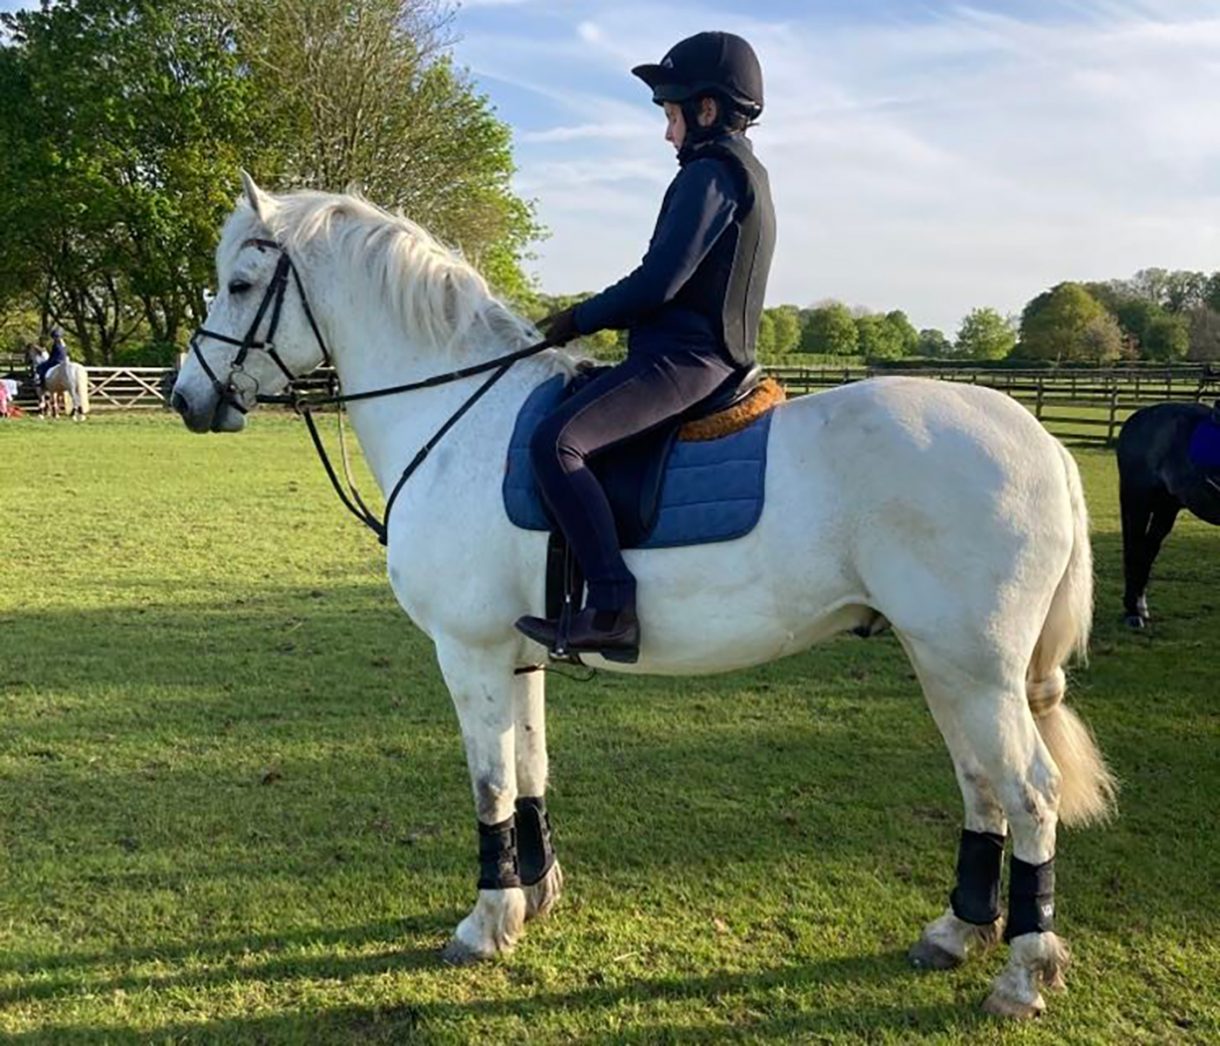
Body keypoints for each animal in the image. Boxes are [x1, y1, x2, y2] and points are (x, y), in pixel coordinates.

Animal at [171, 175, 1116, 1020]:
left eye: (240, 285)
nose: (186, 398)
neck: (457, 418)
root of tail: (1042, 442)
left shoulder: (470, 653)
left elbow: (490, 786)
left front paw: (485, 922)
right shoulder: (520, 656)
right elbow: (530, 773)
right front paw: (535, 896)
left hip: (974, 669)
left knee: (1030, 794)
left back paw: (1023, 975)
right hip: (944, 664)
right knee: (982, 789)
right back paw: (956, 933)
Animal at [1116, 400, 1220, 628]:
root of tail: (1138, 416)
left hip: (1166, 506)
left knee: (1148, 550)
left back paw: (1139, 606)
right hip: (1139, 500)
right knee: (1136, 550)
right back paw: (1132, 612)